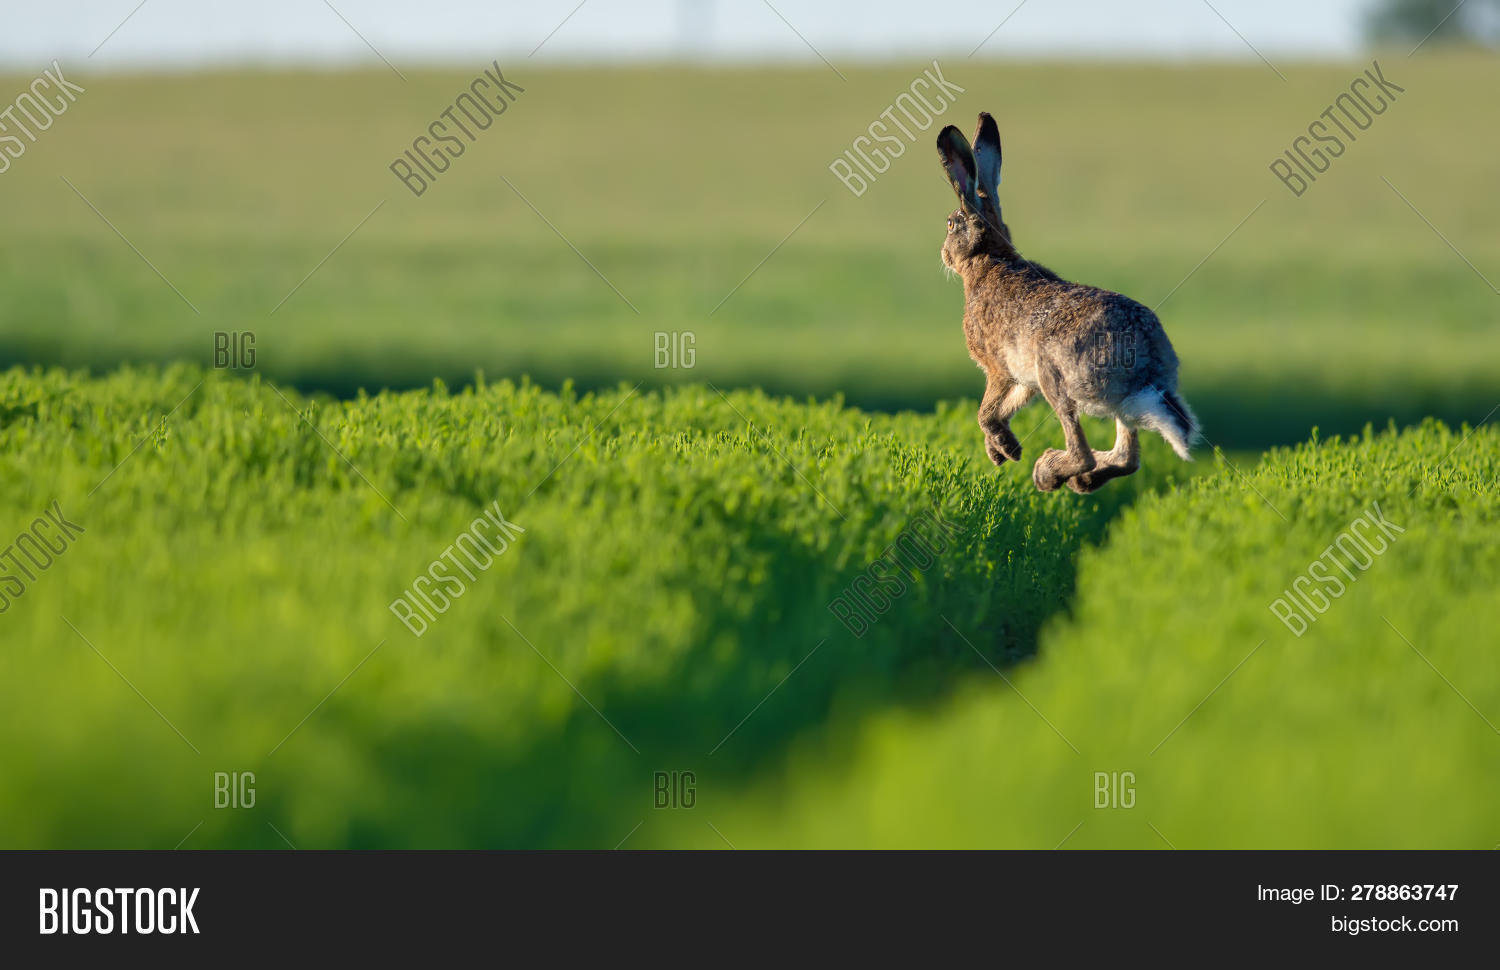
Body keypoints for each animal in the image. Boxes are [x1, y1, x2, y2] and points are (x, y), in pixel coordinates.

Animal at [937, 112, 1199, 494]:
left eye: (950, 224)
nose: (943, 255)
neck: (990, 260)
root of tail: (1146, 363)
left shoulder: (999, 369)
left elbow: (985, 412)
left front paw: (1006, 451)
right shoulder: (1023, 379)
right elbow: (1003, 408)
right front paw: (1000, 451)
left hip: (1056, 379)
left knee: (1082, 450)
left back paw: (1048, 471)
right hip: (1118, 403)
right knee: (1127, 457)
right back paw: (1081, 479)